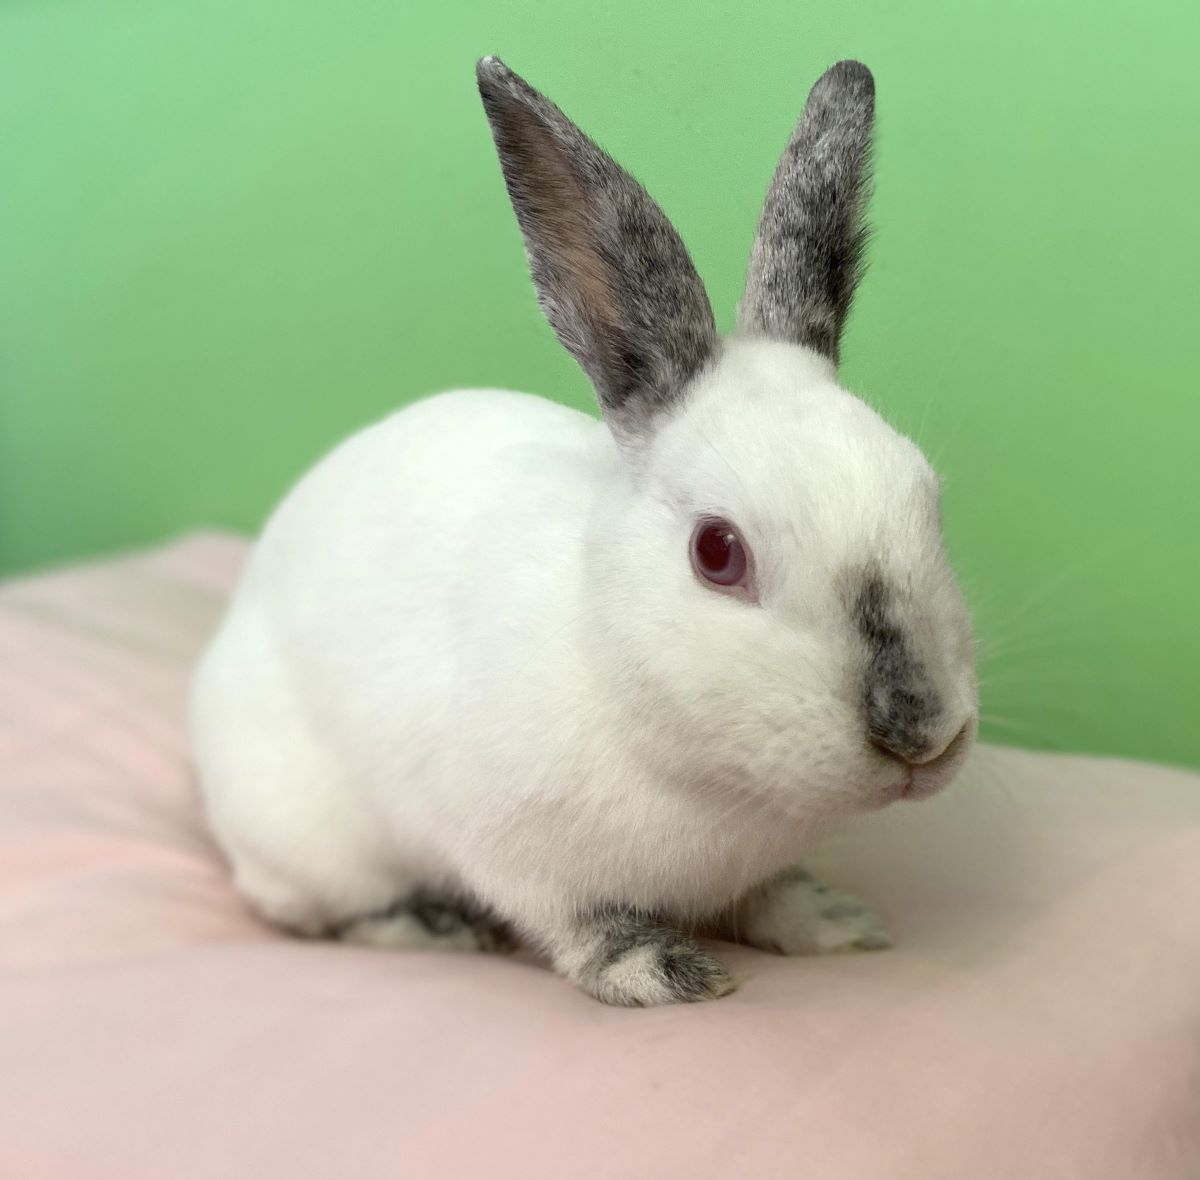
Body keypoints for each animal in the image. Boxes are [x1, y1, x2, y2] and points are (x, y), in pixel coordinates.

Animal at [190, 56, 978, 1006]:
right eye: (717, 553)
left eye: (928, 498)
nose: (921, 733)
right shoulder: (517, 853)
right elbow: (580, 925)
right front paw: (661, 971)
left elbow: (771, 893)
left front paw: (833, 923)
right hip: (311, 835)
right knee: (306, 910)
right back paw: (433, 927)